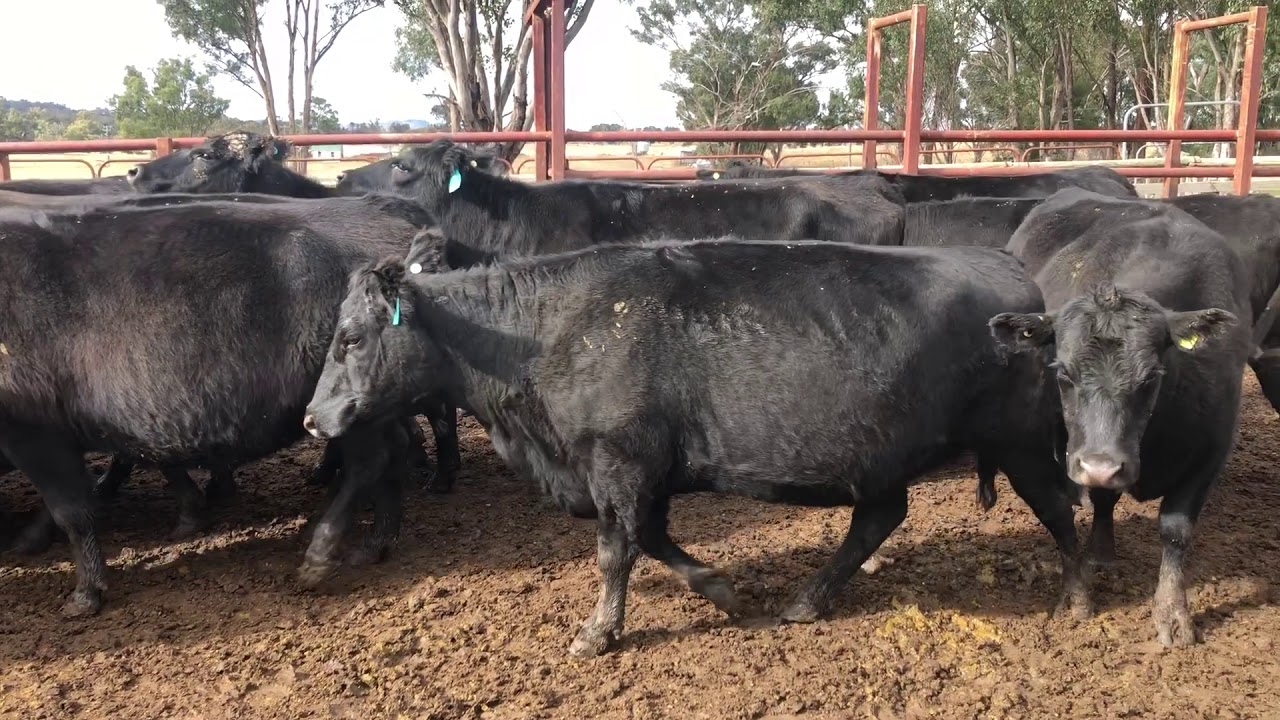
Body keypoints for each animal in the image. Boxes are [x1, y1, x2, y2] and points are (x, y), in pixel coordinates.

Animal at [0, 196, 464, 616]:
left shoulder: (36, 434)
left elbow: (71, 511)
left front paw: (86, 592)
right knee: (393, 454)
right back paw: (375, 543)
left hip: (352, 410)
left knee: (373, 461)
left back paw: (321, 552)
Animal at [302, 233, 1090, 658]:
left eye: (351, 338)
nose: (312, 419)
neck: (546, 329)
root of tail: (1010, 271)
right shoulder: (641, 476)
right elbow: (653, 540)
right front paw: (723, 590)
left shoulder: (617, 464)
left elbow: (616, 552)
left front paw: (598, 634)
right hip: (884, 460)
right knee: (879, 518)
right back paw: (806, 601)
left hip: (1020, 444)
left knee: (1058, 508)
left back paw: (1078, 600)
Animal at [991, 187, 1252, 647]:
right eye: (1063, 372)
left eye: (1151, 378)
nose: (1100, 466)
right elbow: (1094, 500)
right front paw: (1097, 556)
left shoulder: (1210, 453)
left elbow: (1175, 529)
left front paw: (1173, 615)